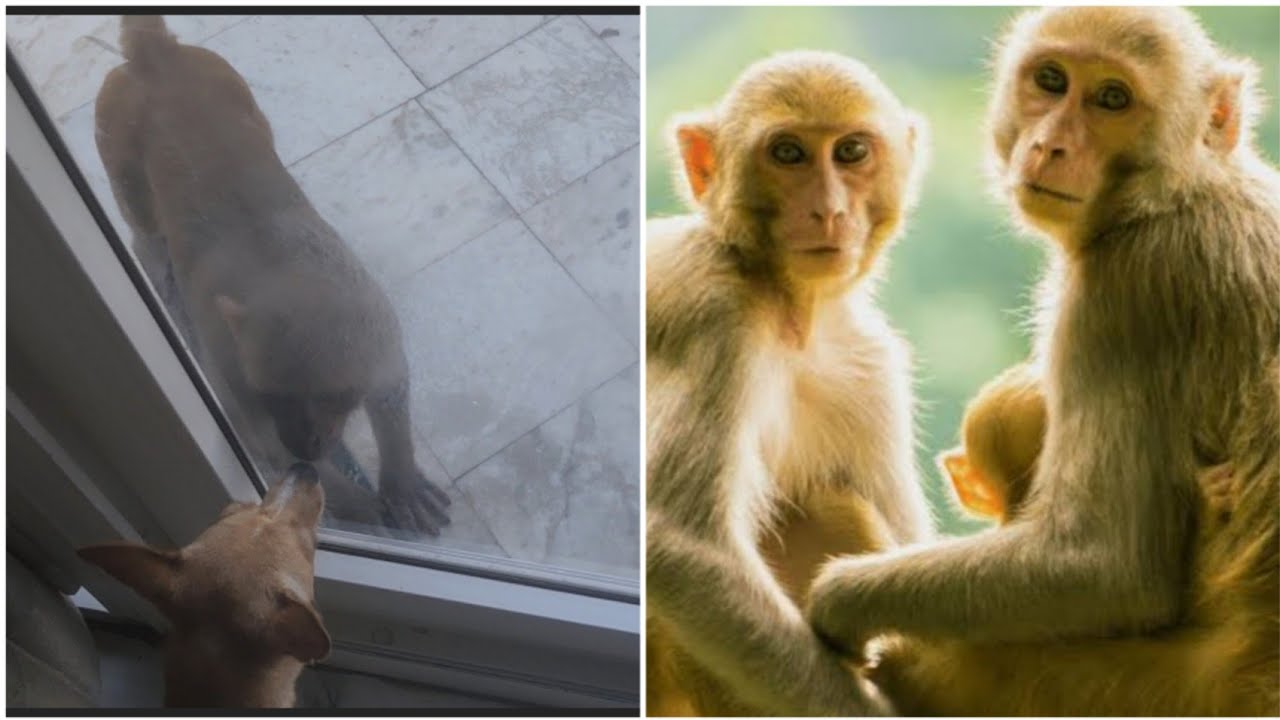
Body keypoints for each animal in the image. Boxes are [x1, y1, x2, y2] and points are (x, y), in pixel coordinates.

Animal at [93, 16, 451, 535]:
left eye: (332, 395)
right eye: (271, 395)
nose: (303, 446)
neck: (284, 268)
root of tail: (153, 56)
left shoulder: (378, 334)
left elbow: (390, 391)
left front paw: (402, 482)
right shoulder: (232, 366)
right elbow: (262, 438)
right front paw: (350, 506)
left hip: (236, 91)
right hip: (122, 159)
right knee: (145, 233)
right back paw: (158, 271)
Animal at [645, 50, 934, 716]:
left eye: (851, 152)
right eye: (788, 154)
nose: (829, 210)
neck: (790, 312)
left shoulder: (872, 367)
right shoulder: (713, 309)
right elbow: (683, 550)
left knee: (829, 501)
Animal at [805, 7, 1279, 715]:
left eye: (1112, 98)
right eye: (1051, 81)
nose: (1051, 145)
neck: (1181, 189)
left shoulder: (1125, 294)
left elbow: (1106, 567)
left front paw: (841, 599)